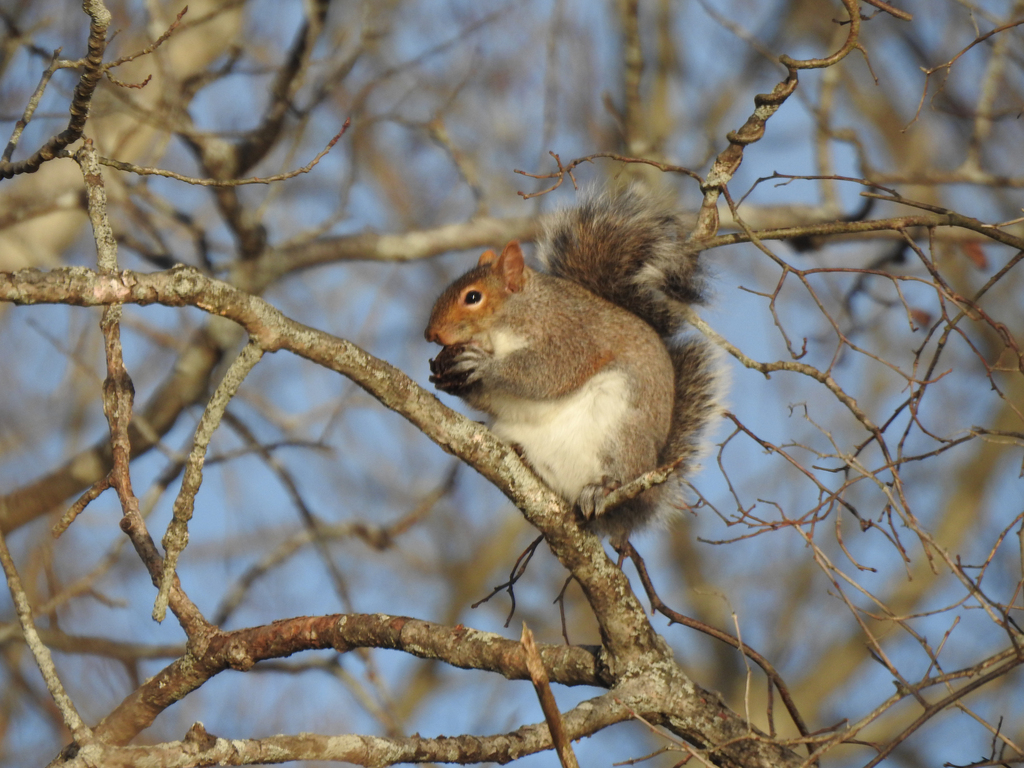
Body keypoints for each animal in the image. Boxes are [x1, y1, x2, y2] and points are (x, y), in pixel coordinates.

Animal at [424, 185, 721, 543]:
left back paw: (601, 490)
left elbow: (549, 372)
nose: (430, 333)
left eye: (472, 297)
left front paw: (484, 366)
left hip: (623, 433)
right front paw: (448, 380)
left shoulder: (571, 335)